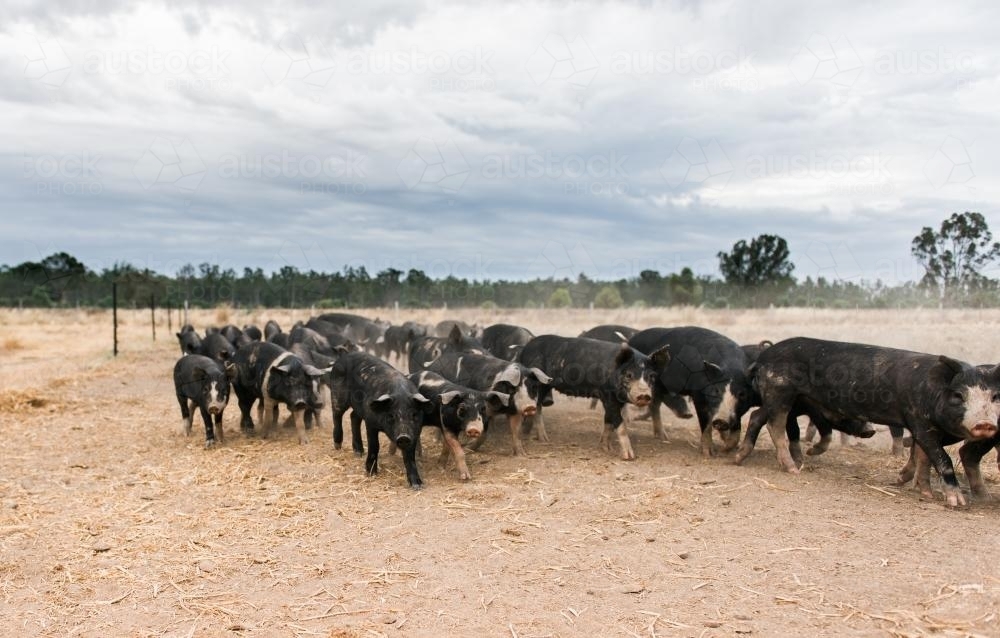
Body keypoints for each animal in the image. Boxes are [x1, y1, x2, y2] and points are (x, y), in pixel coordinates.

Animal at [329, 351, 432, 489]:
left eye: (414, 415)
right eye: (391, 415)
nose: (403, 436)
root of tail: (344, 356)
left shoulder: (415, 431)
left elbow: (410, 456)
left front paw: (417, 485)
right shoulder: (370, 423)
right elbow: (374, 446)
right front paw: (371, 473)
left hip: (359, 407)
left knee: (353, 416)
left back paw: (358, 452)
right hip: (337, 395)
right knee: (337, 414)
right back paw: (338, 446)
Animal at [519, 336, 667, 460]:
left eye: (651, 376)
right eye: (629, 375)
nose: (644, 395)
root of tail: (526, 348)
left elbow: (608, 422)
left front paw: (606, 448)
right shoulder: (607, 395)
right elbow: (620, 424)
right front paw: (629, 457)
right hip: (538, 384)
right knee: (537, 407)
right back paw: (544, 439)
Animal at [738, 337, 1000, 506]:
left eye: (994, 397)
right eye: (958, 395)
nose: (985, 423)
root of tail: (763, 357)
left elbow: (923, 456)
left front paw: (924, 493)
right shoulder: (917, 420)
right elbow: (942, 459)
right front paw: (958, 503)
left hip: (785, 398)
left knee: (758, 416)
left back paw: (741, 457)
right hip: (780, 391)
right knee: (775, 425)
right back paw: (792, 469)